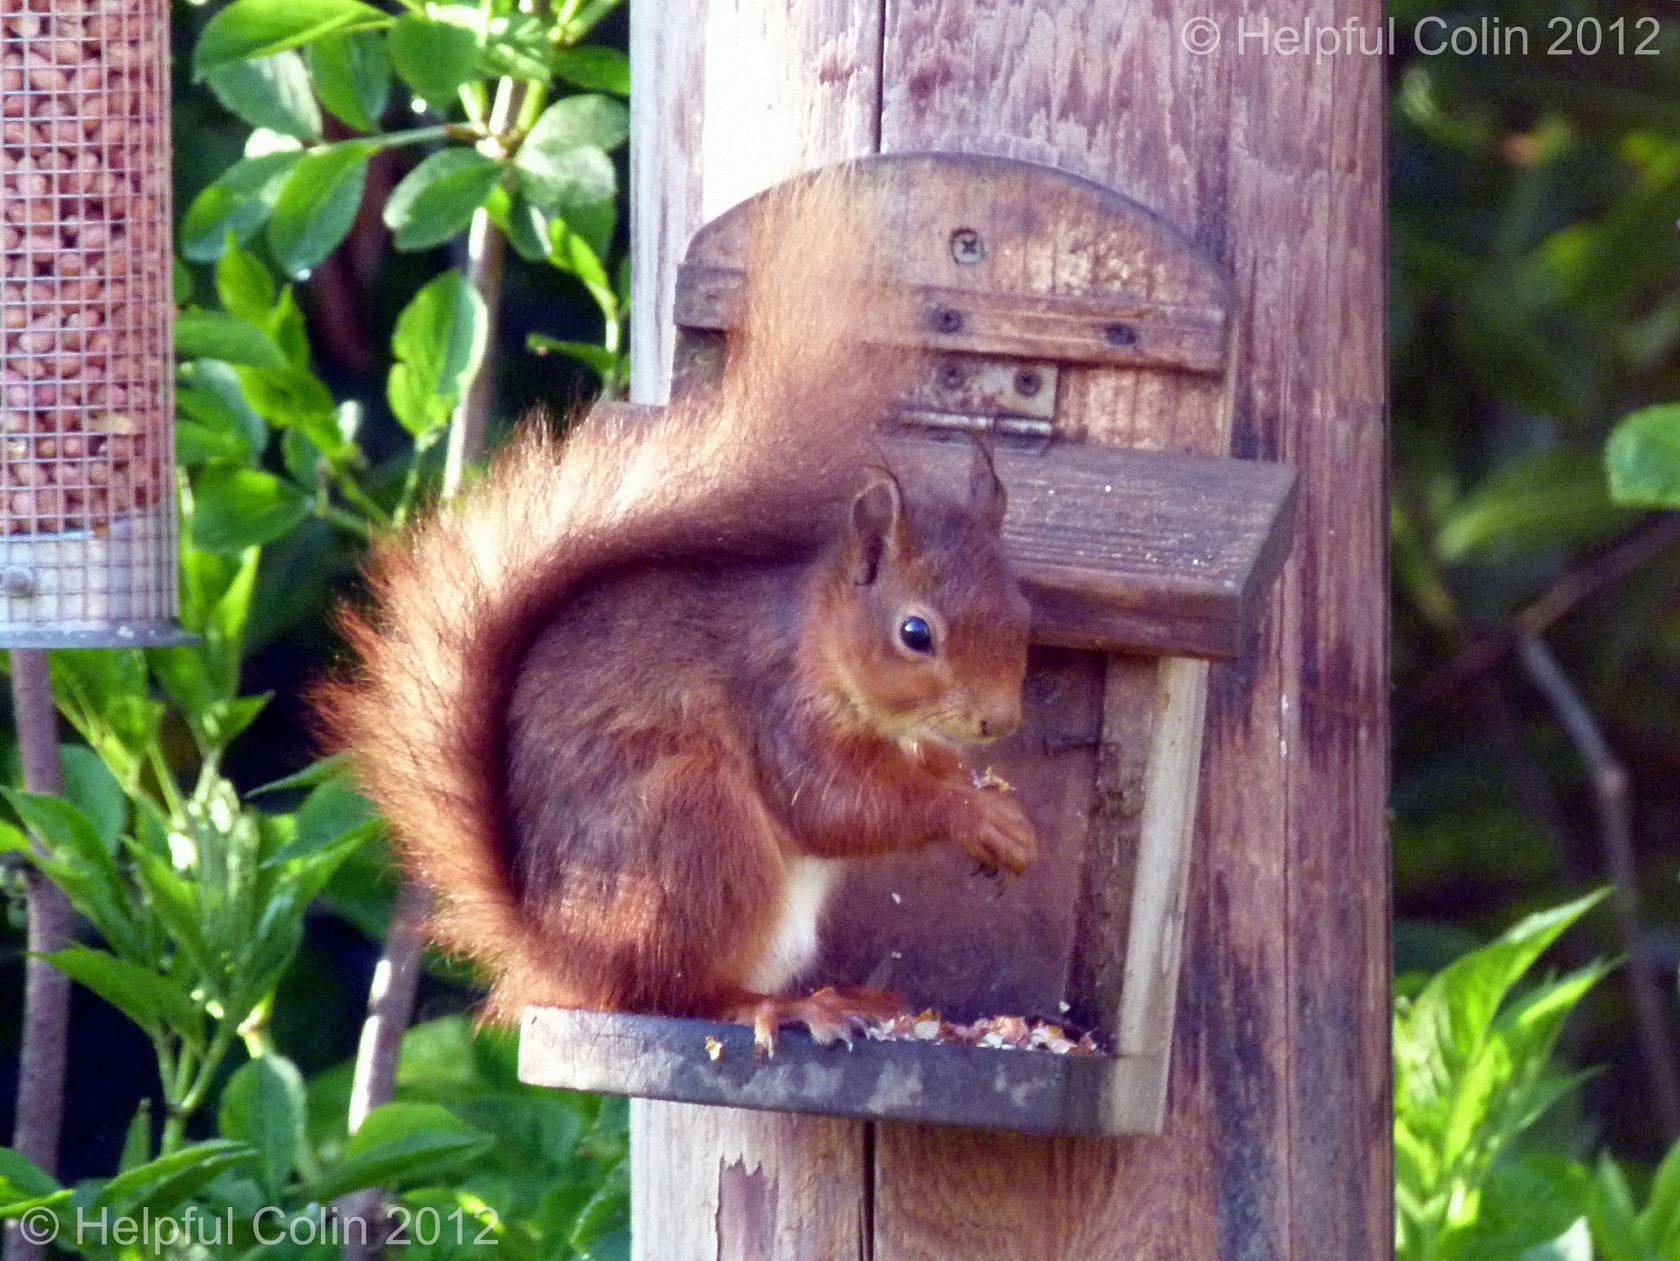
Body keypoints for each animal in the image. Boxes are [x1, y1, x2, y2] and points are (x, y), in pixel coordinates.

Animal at [320, 169, 1040, 1050]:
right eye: (916, 633)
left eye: (1023, 613)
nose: (999, 721)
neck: (821, 646)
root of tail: (564, 955)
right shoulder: (780, 711)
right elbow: (836, 807)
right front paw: (970, 810)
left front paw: (990, 797)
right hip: (693, 835)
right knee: (680, 990)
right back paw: (786, 1006)